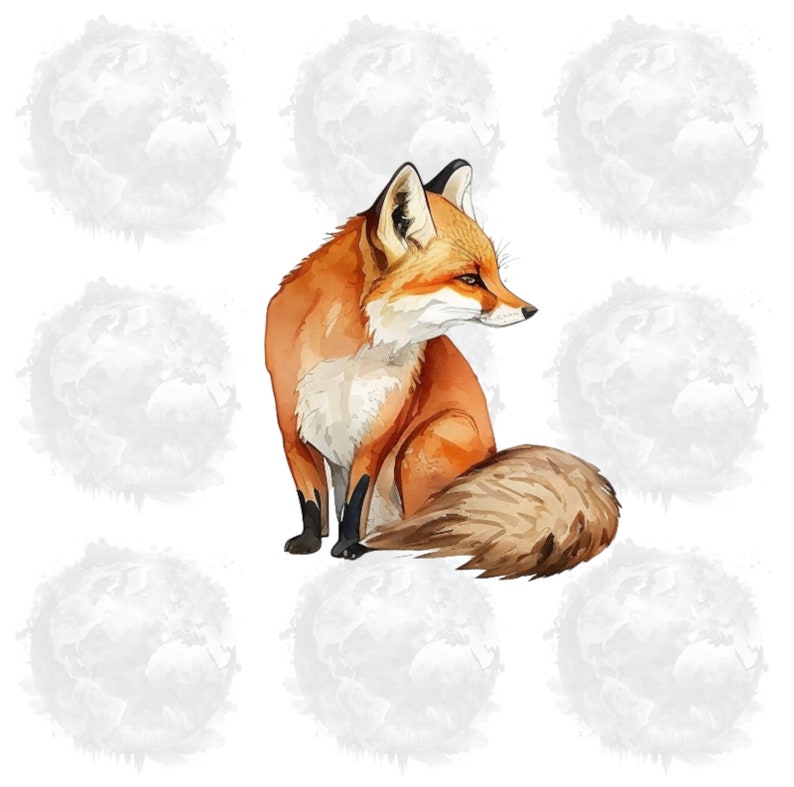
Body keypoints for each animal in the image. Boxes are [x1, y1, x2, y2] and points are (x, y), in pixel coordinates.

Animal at [265, 160, 619, 579]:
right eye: (470, 278)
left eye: (496, 273)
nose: (530, 310)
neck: (351, 356)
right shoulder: (292, 425)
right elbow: (311, 499)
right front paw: (310, 542)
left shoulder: (379, 429)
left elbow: (355, 500)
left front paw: (350, 546)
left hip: (422, 444)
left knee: (428, 524)